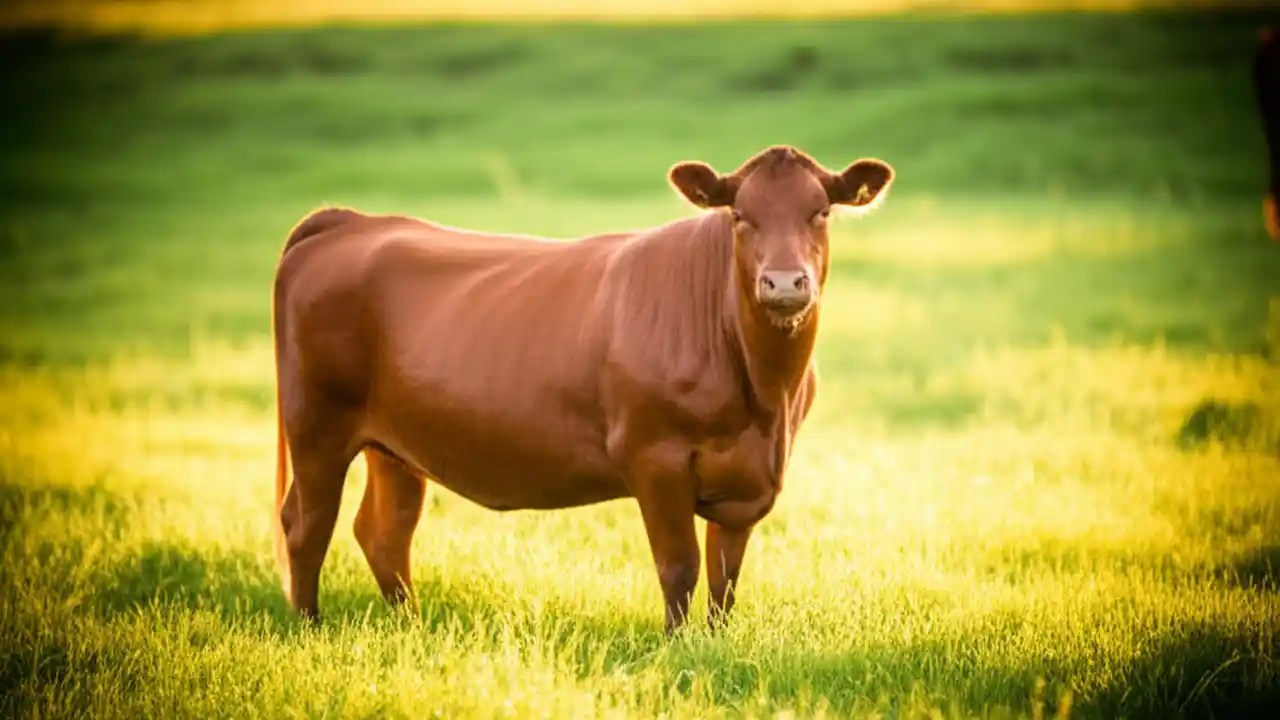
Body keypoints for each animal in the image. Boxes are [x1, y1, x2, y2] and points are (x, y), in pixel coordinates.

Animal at [272, 145, 894, 633]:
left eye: (820, 212)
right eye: (739, 215)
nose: (785, 284)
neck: (764, 397)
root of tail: (353, 220)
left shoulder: (744, 481)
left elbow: (725, 577)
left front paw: (715, 643)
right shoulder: (656, 458)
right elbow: (680, 566)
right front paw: (678, 646)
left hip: (397, 445)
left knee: (385, 531)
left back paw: (412, 626)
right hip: (317, 426)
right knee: (307, 523)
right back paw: (310, 628)